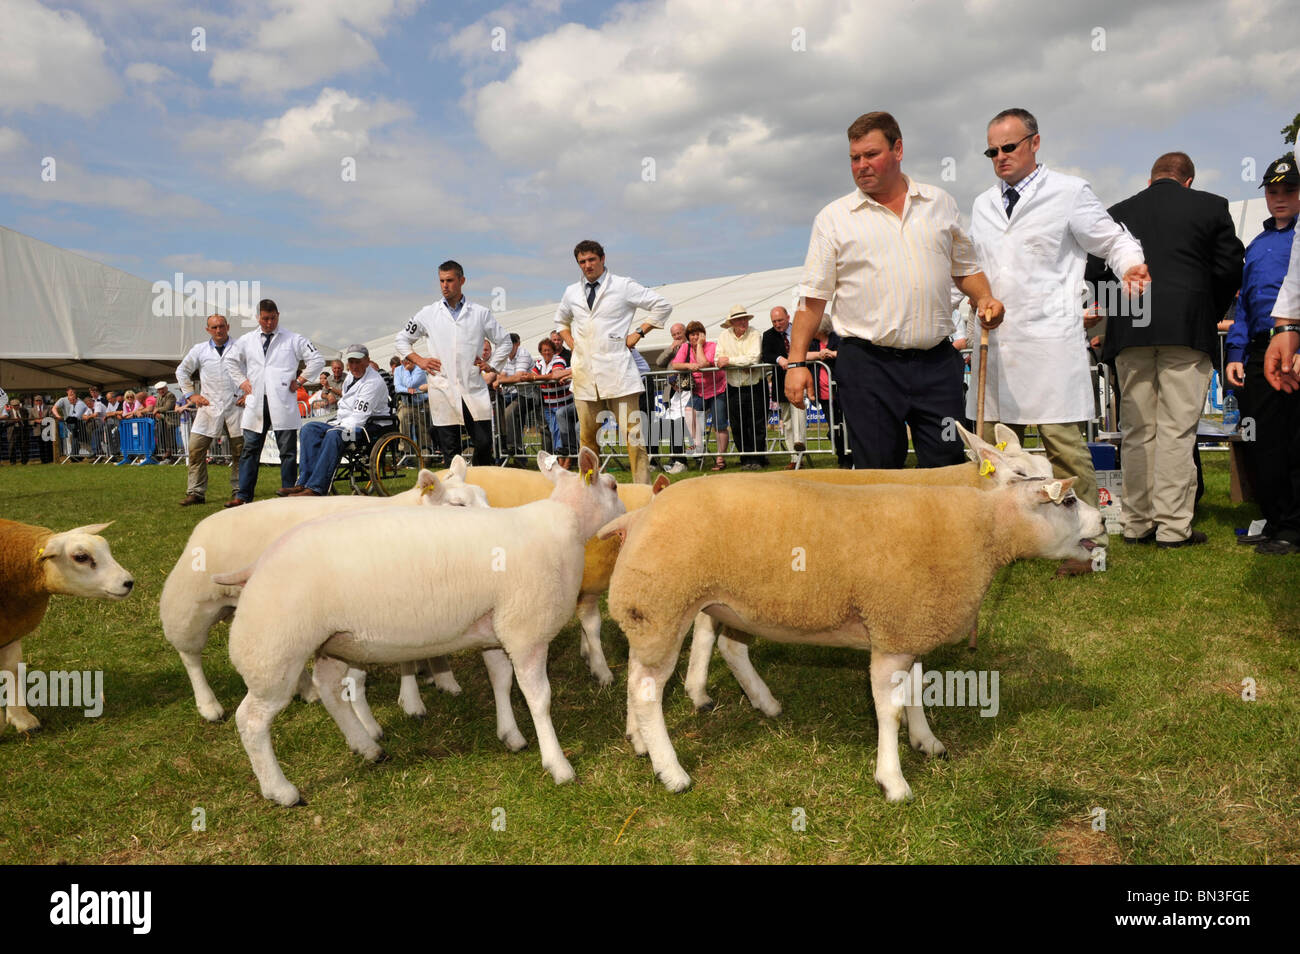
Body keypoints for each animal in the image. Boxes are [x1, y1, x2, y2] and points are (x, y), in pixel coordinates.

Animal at [159, 460, 487, 723]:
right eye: (458, 505)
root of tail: (202, 526)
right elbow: (406, 659)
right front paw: (413, 701)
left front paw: (441, 677)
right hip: (190, 604)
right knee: (190, 655)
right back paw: (208, 705)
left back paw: (306, 690)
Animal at [224, 448, 626, 806]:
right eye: (613, 485)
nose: (626, 517)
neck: (565, 525)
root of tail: (259, 562)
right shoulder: (526, 629)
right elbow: (539, 698)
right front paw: (558, 764)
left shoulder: (496, 627)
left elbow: (500, 681)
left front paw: (510, 734)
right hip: (273, 650)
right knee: (252, 720)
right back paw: (281, 790)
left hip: (332, 641)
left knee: (329, 689)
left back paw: (367, 748)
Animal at [601, 467, 1103, 800]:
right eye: (1068, 502)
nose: (1103, 519)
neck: (985, 533)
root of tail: (639, 516)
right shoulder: (892, 631)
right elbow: (890, 711)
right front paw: (893, 780)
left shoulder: (907, 628)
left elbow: (916, 693)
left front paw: (926, 742)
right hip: (662, 604)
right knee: (647, 688)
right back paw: (671, 771)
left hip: (680, 610)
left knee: (653, 671)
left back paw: (656, 736)